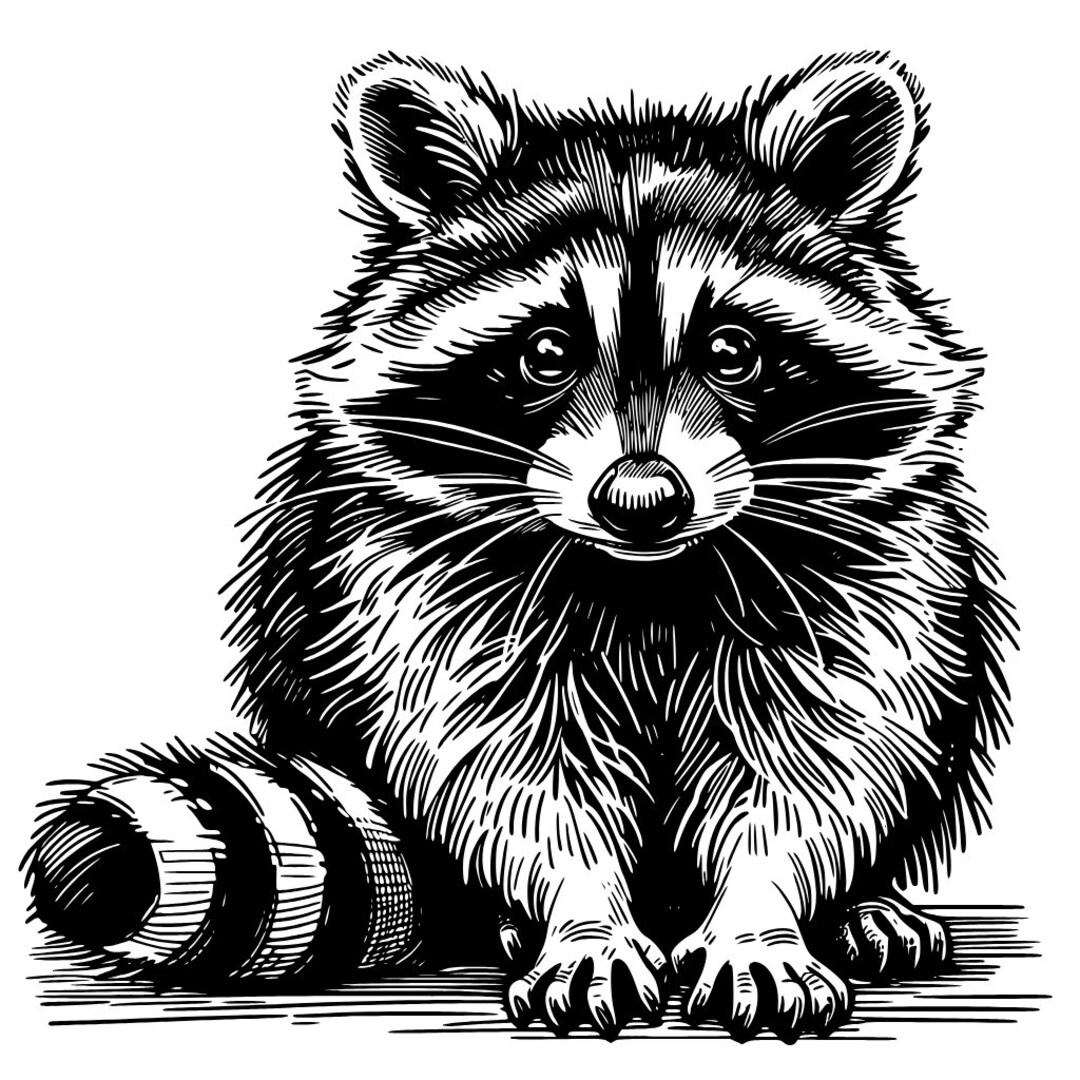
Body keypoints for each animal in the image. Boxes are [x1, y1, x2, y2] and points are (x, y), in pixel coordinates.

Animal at [227, 52, 1014, 1039]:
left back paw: (861, 905)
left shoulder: (855, 570)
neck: (651, 580)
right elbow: (511, 769)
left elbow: (811, 766)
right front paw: (583, 918)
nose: (643, 503)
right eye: (547, 352)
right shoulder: (425, 580)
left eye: (732, 349)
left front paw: (760, 917)